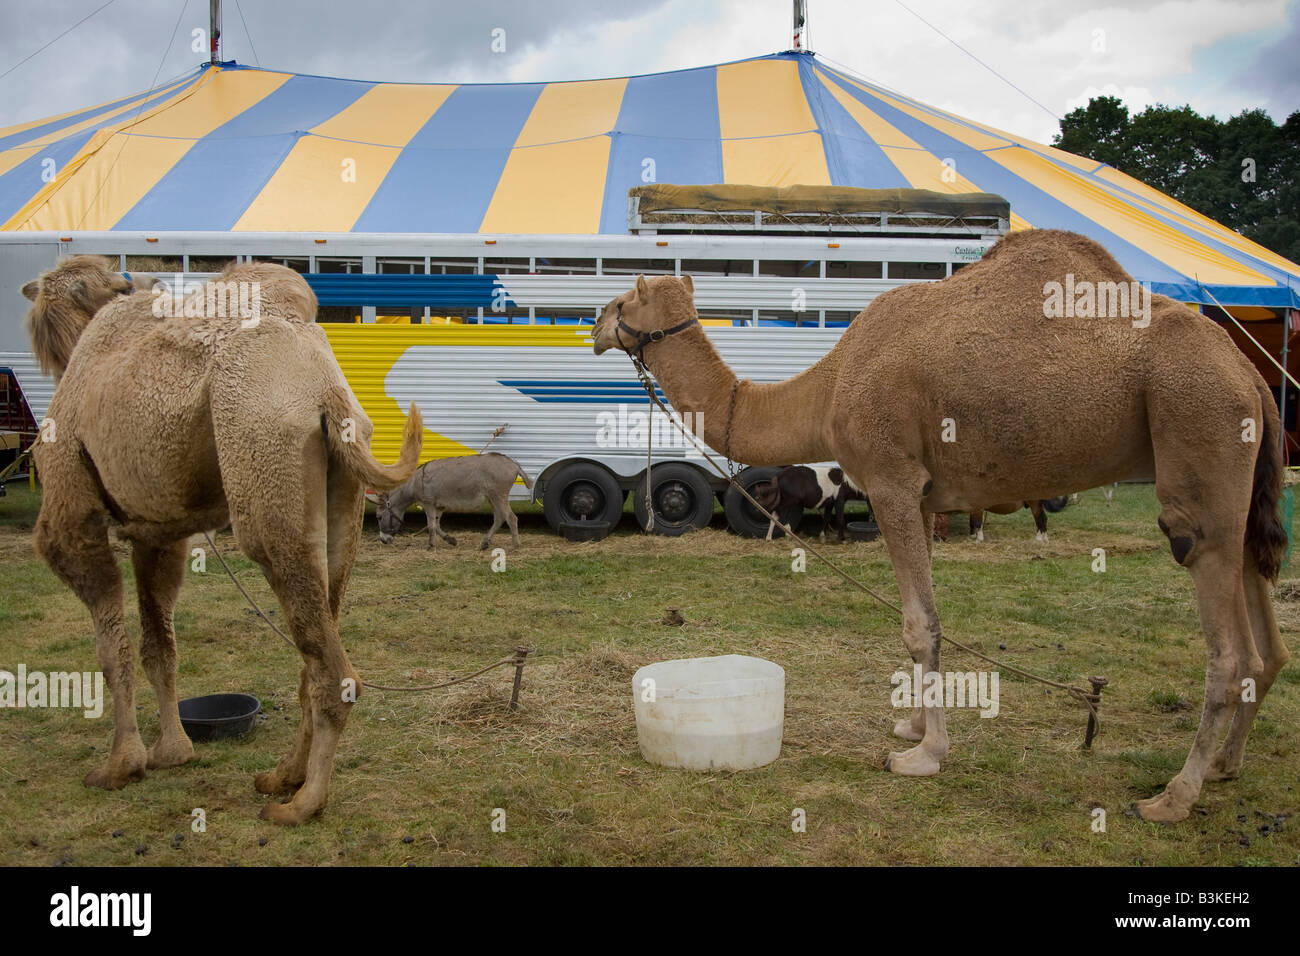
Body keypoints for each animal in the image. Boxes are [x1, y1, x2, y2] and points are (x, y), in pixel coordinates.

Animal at [23, 256, 423, 825]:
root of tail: (324, 389)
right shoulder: (157, 533)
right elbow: (158, 645)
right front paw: (173, 752)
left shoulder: (70, 511)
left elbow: (110, 649)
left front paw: (121, 765)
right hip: (342, 486)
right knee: (317, 638)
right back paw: (282, 776)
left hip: (262, 465)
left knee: (327, 661)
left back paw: (302, 804)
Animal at [592, 229, 1289, 823]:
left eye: (623, 299)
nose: (595, 329)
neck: (832, 384)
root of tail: (1252, 376)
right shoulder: (927, 500)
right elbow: (925, 623)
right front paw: (915, 728)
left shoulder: (892, 482)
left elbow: (917, 624)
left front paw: (921, 756)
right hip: (1243, 478)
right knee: (1266, 640)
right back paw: (1225, 767)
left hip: (1200, 439)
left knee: (1225, 637)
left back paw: (1174, 795)